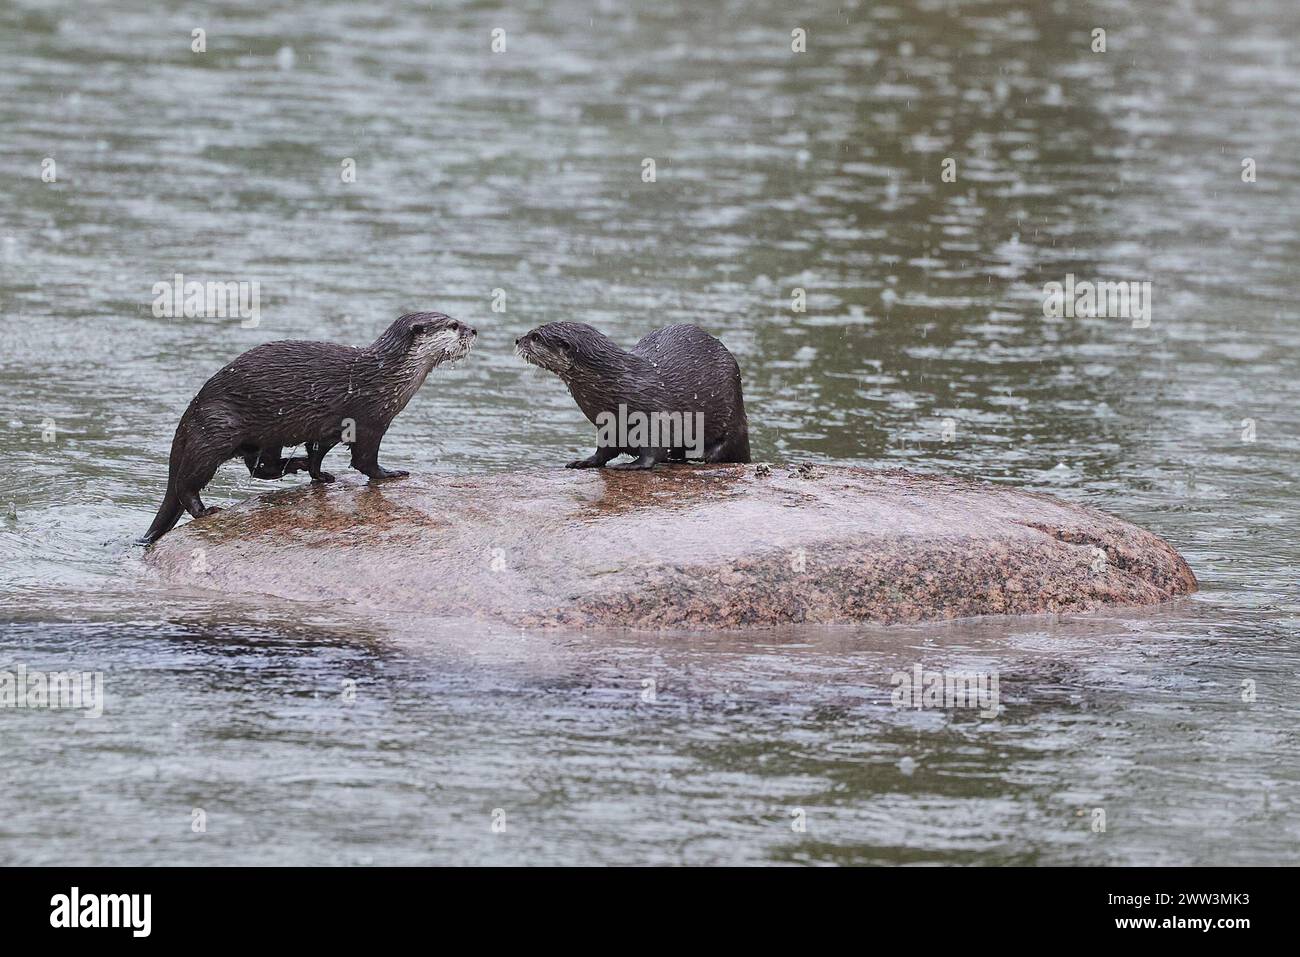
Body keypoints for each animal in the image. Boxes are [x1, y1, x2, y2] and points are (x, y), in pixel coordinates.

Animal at [137, 311, 476, 545]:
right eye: (452, 324)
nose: (473, 329)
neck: (386, 378)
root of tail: (194, 405)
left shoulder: (328, 429)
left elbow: (318, 453)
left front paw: (319, 475)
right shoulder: (369, 421)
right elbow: (365, 460)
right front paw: (390, 473)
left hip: (264, 436)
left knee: (261, 466)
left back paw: (294, 464)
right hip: (216, 430)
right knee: (187, 482)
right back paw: (206, 511)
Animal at [515, 321, 750, 469]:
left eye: (535, 336)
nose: (517, 339)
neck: (619, 384)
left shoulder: (654, 411)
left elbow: (654, 444)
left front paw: (632, 465)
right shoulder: (608, 424)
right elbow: (604, 450)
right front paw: (584, 461)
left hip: (732, 402)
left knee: (732, 439)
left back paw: (704, 455)